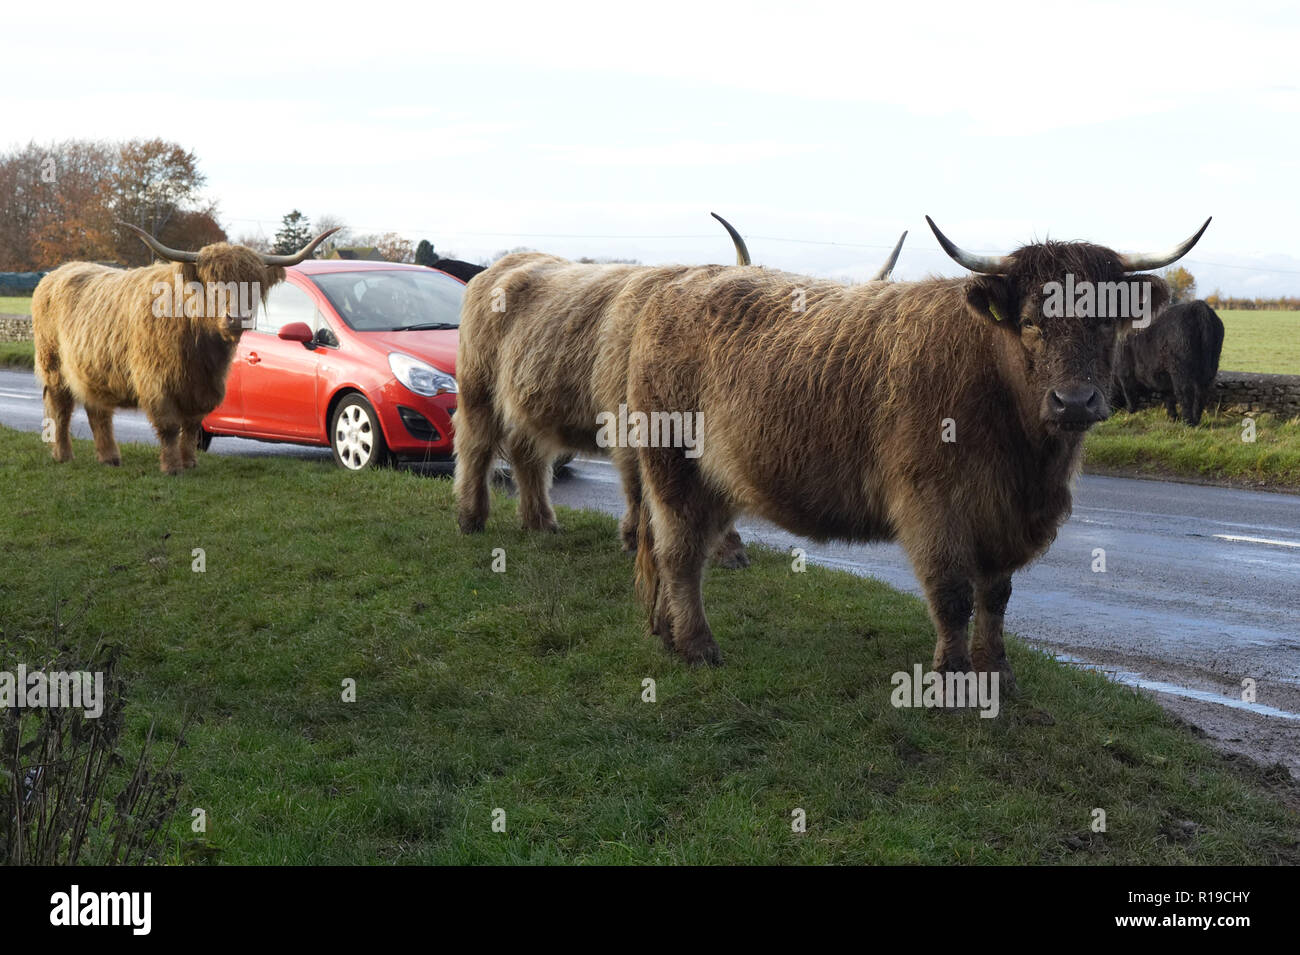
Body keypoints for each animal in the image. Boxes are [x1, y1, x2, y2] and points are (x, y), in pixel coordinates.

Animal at [32, 224, 338, 474]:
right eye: (213, 284)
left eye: (253, 285)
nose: (236, 318)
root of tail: (57, 272)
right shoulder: (156, 382)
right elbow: (169, 427)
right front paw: (172, 467)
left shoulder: (204, 387)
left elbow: (191, 426)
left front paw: (190, 462)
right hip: (53, 366)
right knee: (61, 408)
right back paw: (63, 455)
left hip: (94, 369)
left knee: (98, 411)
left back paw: (110, 458)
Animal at [453, 215, 907, 569]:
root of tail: (501, 266)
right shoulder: (631, 424)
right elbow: (640, 488)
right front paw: (637, 538)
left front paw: (729, 551)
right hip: (478, 386)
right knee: (476, 445)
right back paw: (471, 518)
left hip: (526, 401)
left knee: (526, 452)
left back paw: (541, 523)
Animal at [627, 216, 1210, 692]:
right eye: (1030, 322)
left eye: (1106, 321)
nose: (1074, 401)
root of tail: (677, 283)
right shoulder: (933, 503)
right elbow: (952, 595)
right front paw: (951, 679)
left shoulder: (1003, 517)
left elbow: (996, 596)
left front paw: (996, 672)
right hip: (673, 465)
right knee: (680, 553)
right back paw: (697, 646)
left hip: (715, 480)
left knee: (676, 545)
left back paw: (666, 631)